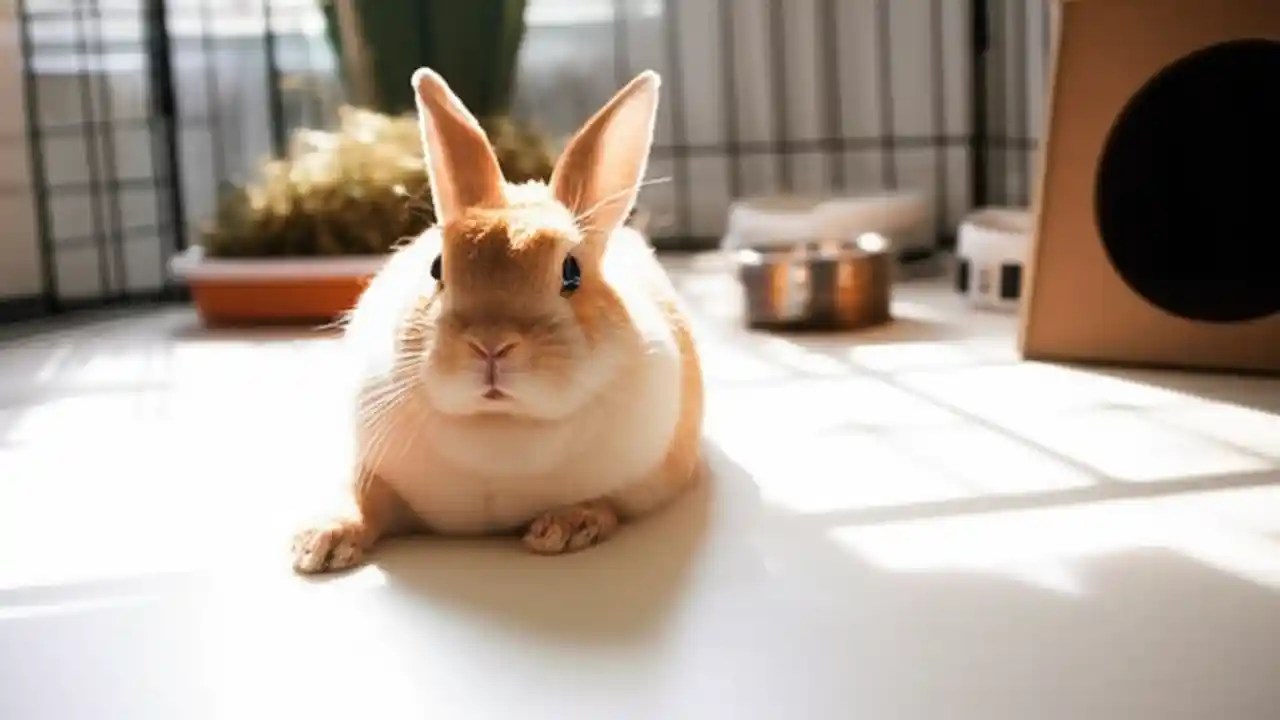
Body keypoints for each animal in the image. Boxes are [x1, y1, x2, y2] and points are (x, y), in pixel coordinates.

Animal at [291, 68, 704, 573]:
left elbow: (606, 504)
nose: (491, 345)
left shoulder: (637, 483)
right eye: (437, 268)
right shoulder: (374, 469)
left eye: (571, 272)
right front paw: (319, 544)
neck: (499, 427)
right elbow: (364, 498)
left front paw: (564, 528)